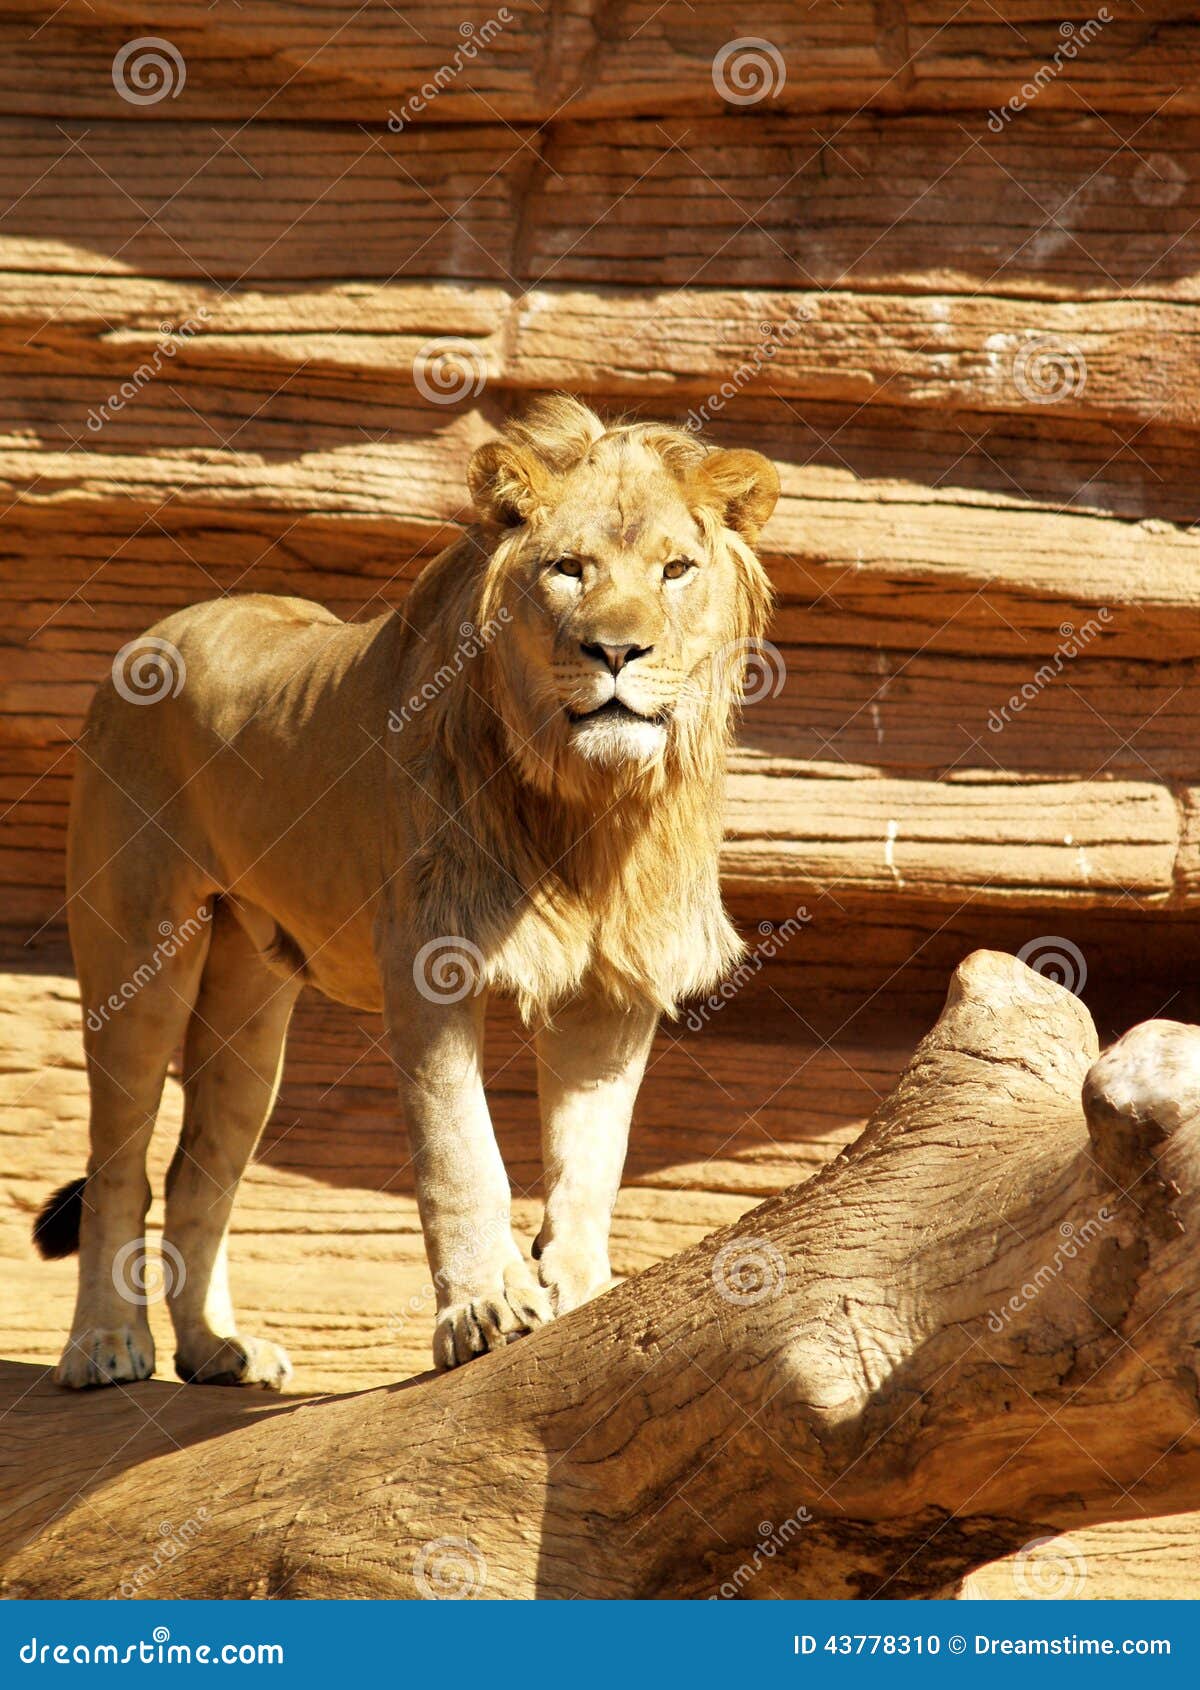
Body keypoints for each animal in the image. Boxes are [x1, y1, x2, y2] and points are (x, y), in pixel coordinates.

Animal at [33, 395, 778, 1388]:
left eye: (677, 570)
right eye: (568, 569)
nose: (617, 650)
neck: (589, 803)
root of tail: (153, 638)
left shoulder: (614, 984)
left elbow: (593, 1157)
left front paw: (579, 1292)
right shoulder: (430, 958)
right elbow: (462, 1153)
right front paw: (485, 1307)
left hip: (250, 1005)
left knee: (202, 1170)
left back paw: (217, 1348)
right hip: (135, 952)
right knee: (121, 1164)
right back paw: (104, 1345)